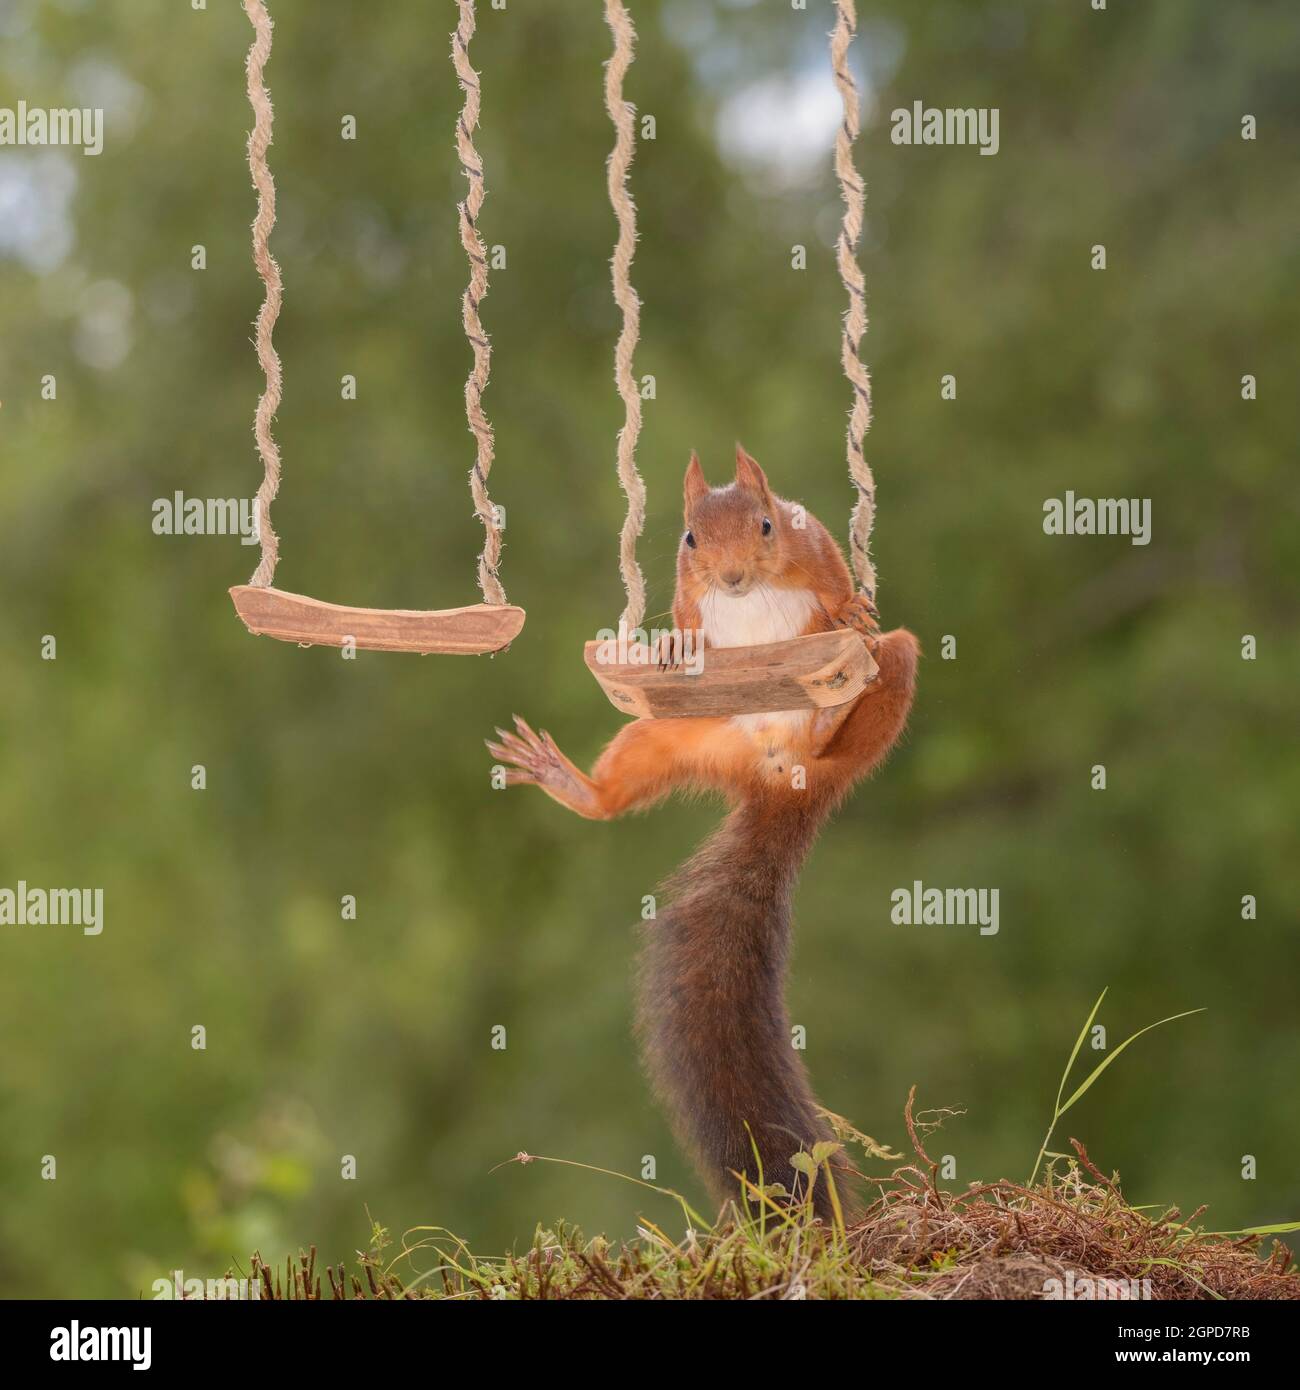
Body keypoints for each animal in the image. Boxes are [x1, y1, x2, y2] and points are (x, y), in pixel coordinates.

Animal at [487, 445, 918, 1219]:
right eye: (690, 539)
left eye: (768, 524)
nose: (734, 578)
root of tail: (784, 777)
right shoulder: (688, 590)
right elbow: (687, 612)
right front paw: (677, 635)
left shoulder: (814, 546)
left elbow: (838, 578)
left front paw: (848, 608)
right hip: (675, 733)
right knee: (612, 794)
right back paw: (567, 781)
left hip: (891, 672)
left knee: (866, 696)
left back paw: (832, 713)